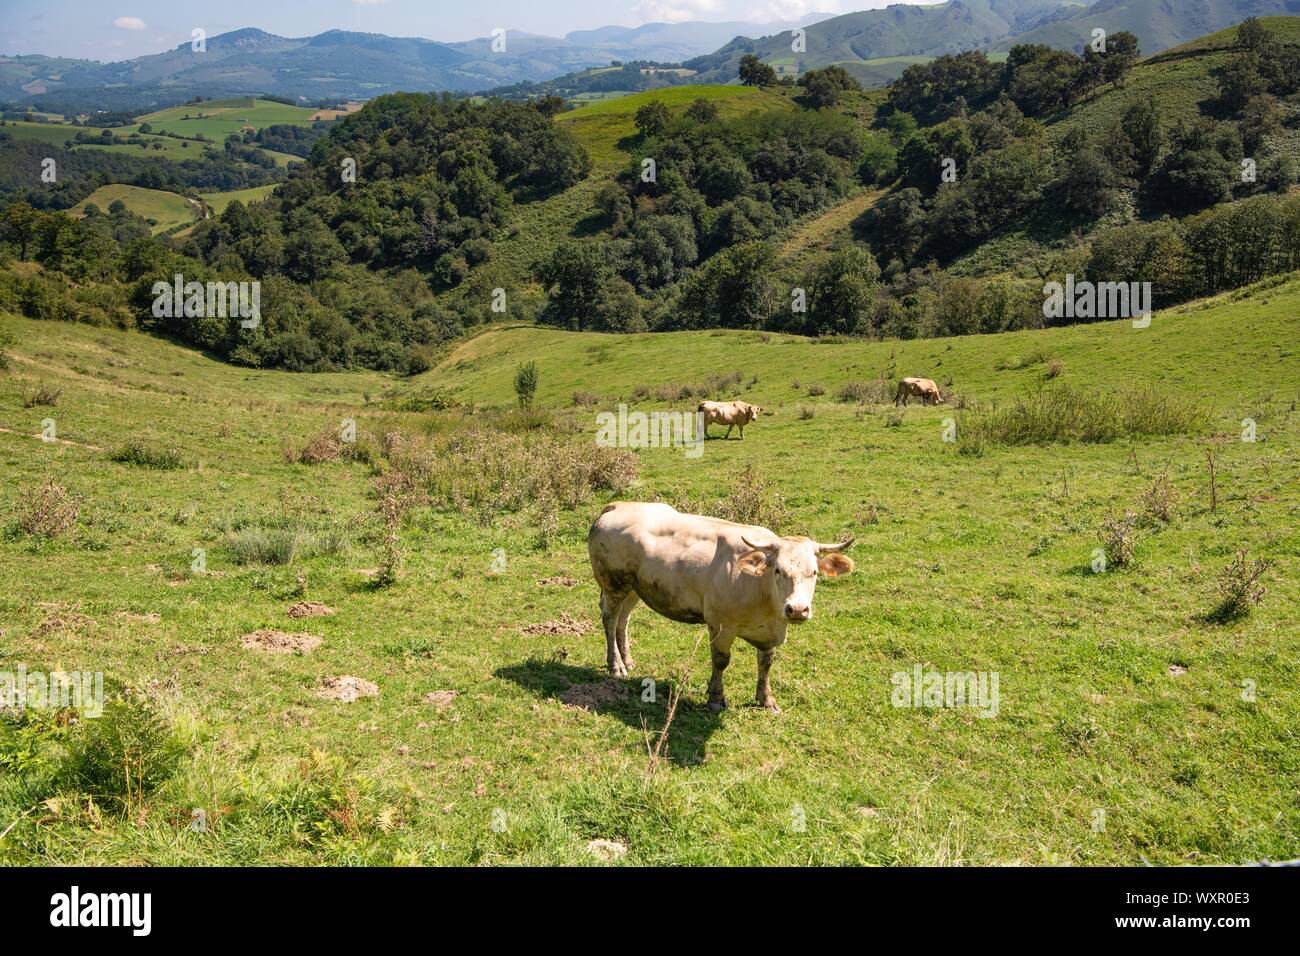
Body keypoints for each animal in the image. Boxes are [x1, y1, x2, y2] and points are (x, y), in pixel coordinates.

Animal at [587, 501, 854, 713]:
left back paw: (628, 660)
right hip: (613, 584)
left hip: (634, 588)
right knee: (610, 619)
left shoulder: (769, 632)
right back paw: (616, 665)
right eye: (778, 570)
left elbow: (766, 663)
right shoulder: (720, 624)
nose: (797, 609)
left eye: (814, 572)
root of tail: (618, 505)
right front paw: (715, 698)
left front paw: (766, 699)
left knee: (623, 621)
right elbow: (721, 661)